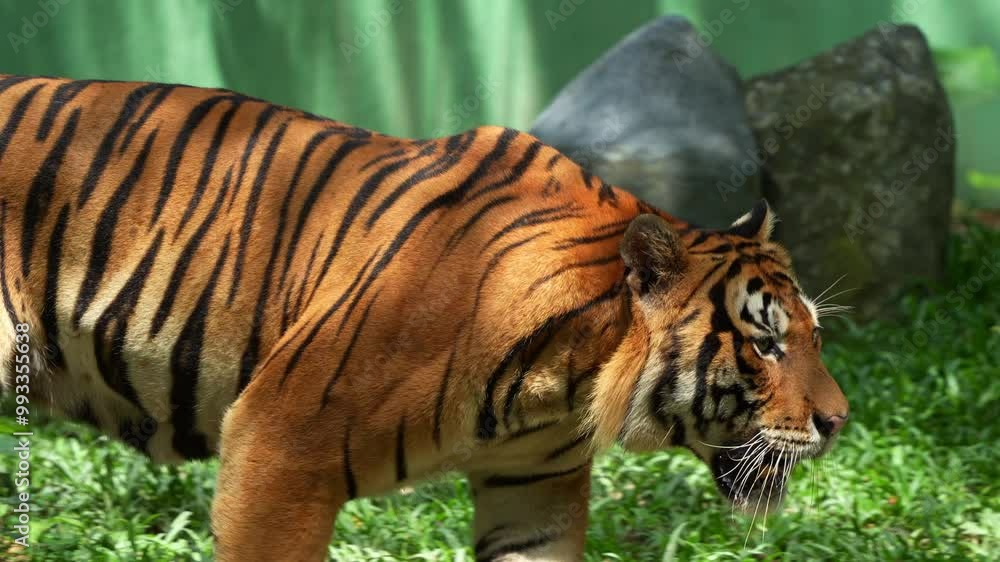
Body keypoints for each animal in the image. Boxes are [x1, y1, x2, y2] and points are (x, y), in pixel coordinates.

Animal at [0, 74, 848, 561]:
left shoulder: (532, 487)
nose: (838, 421)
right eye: (766, 345)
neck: (567, 375)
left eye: (810, 336)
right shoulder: (278, 441)